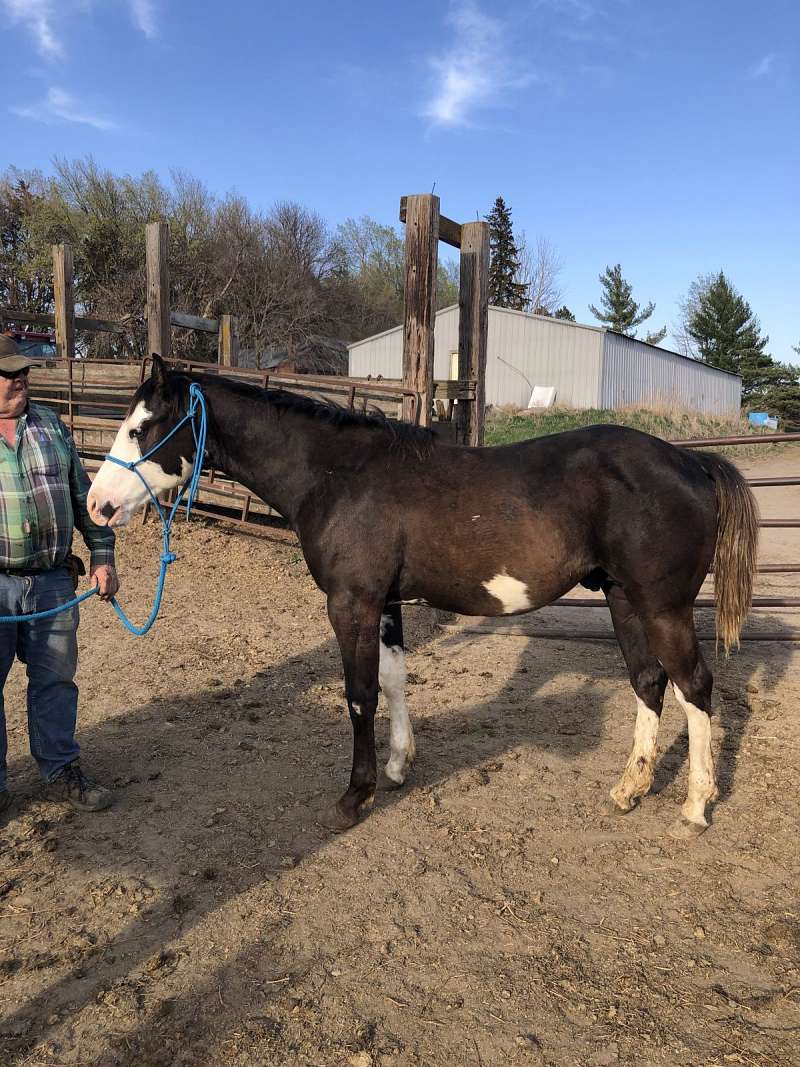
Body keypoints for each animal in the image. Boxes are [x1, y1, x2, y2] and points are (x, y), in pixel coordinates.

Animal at [87, 355, 759, 839]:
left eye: (141, 428)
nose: (97, 504)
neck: (338, 476)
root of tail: (693, 466)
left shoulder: (351, 604)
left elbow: (358, 695)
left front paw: (354, 796)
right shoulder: (382, 605)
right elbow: (392, 682)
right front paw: (397, 766)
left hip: (663, 607)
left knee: (695, 687)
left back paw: (696, 806)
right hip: (623, 600)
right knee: (649, 682)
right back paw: (630, 789)